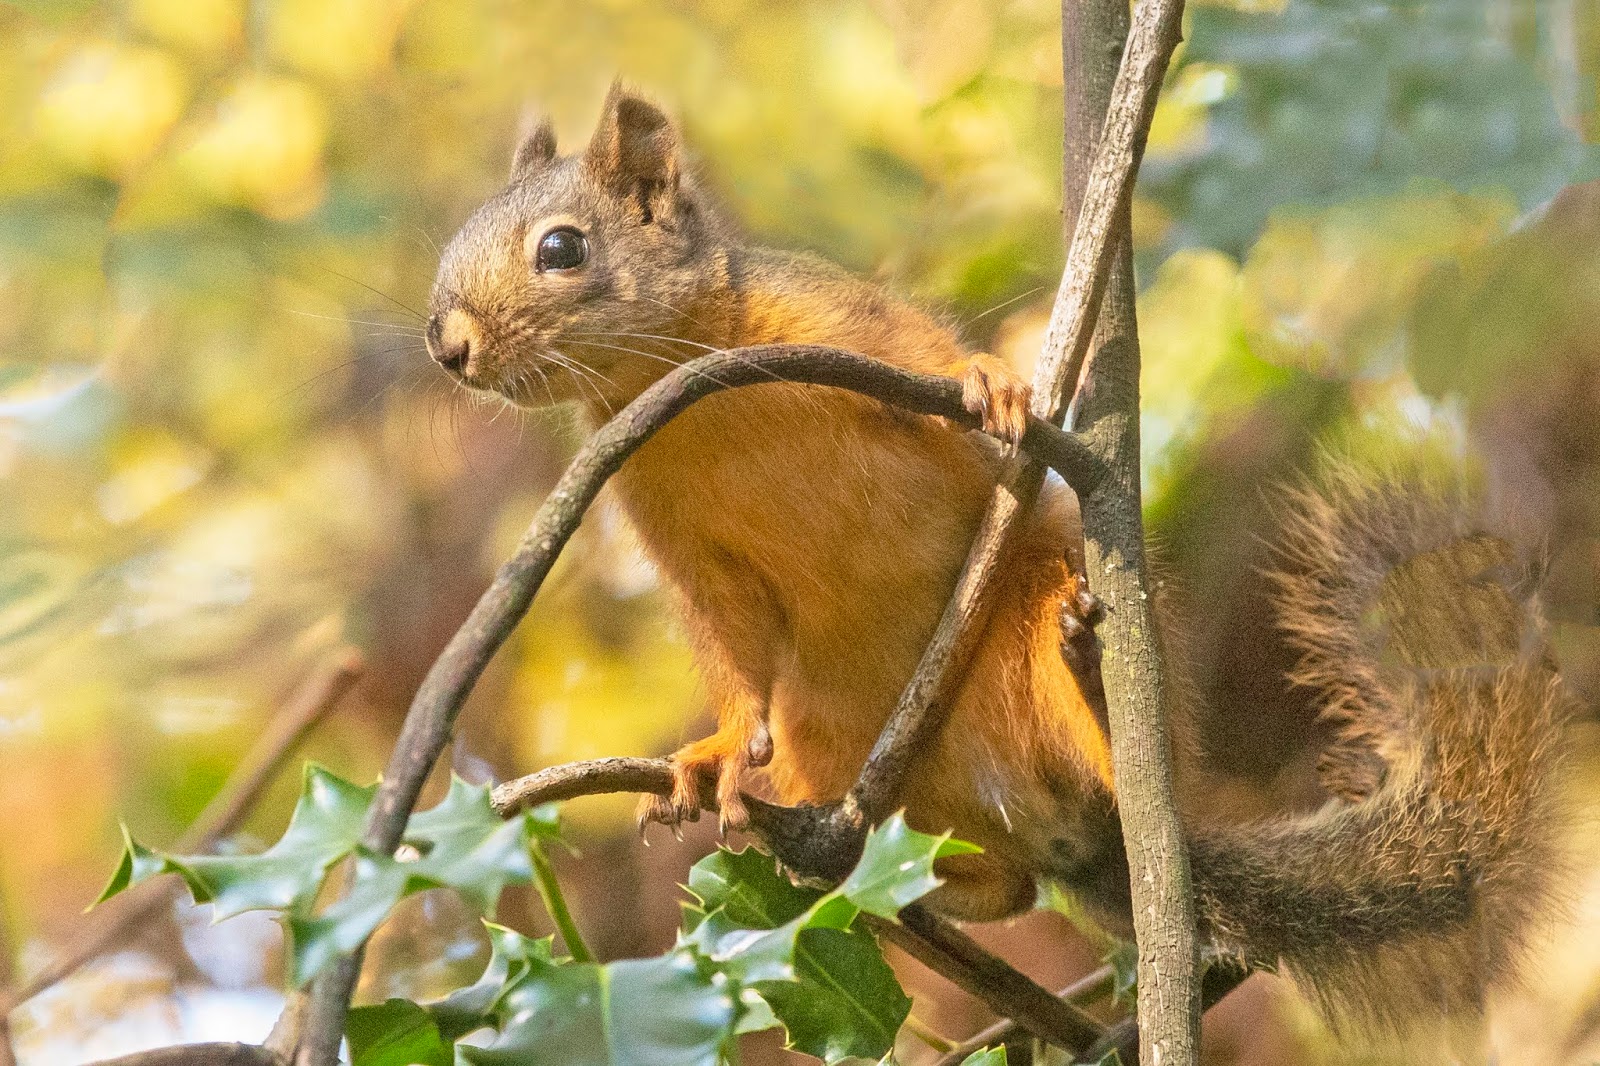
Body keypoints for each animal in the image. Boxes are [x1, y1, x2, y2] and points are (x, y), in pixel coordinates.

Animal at [424, 85, 1569, 1030]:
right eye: (448, 254)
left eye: (562, 249)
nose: (449, 344)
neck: (692, 382)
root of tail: (1069, 844)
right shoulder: (671, 528)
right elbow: (732, 646)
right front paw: (713, 754)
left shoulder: (834, 323)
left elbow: (921, 361)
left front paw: (995, 385)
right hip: (842, 751)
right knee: (997, 884)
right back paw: (834, 857)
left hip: (1043, 614)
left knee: (1107, 779)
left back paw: (1092, 683)